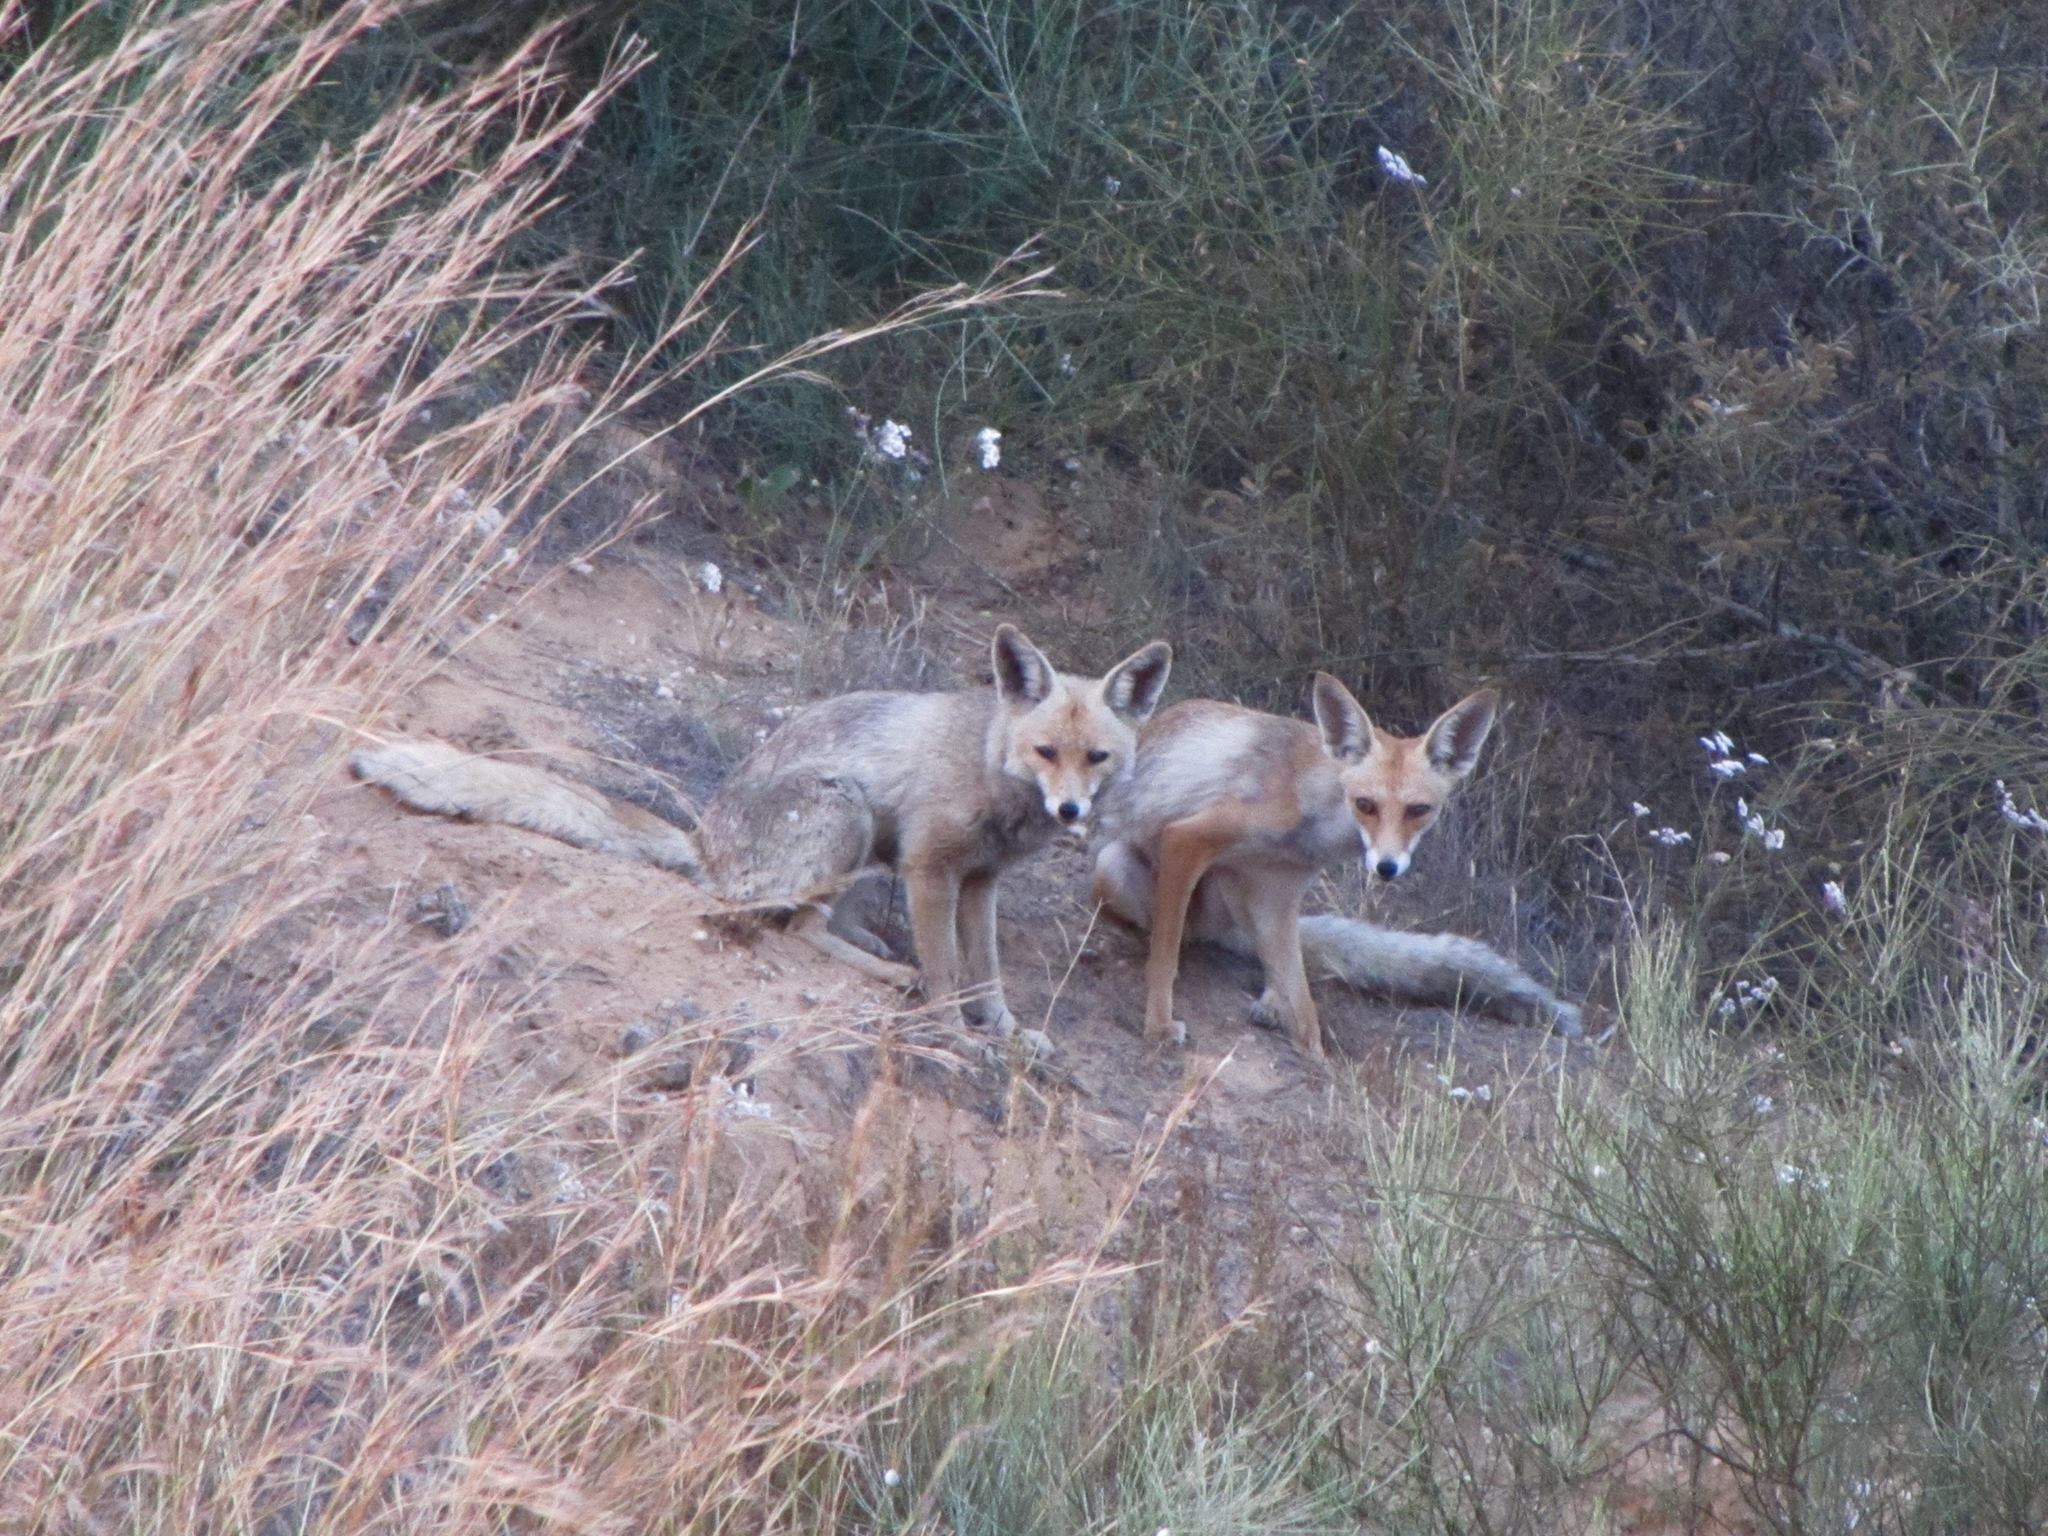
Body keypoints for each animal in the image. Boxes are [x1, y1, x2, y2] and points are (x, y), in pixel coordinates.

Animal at [352, 625, 1172, 1043]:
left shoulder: (981, 880)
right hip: (847, 813)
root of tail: (705, 842)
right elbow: (946, 972)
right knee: (790, 928)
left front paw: (1003, 1028)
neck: (991, 768)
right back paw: (882, 971)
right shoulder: (930, 868)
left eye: (1097, 758)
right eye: (1046, 752)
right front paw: (958, 1033)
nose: (1071, 814)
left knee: (806, 918)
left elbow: (990, 969)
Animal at [1090, 674, 1581, 1060]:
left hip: (1239, 896)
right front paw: (1158, 1026)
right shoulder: (1187, 839)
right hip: (1113, 866)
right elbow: (1165, 957)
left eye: (1418, 810)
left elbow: (1304, 1008)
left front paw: (1317, 1061)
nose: (1386, 867)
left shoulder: (1276, 891)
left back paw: (1270, 1002)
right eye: (1365, 804)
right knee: (1182, 936)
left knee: (1273, 961)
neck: (1313, 816)